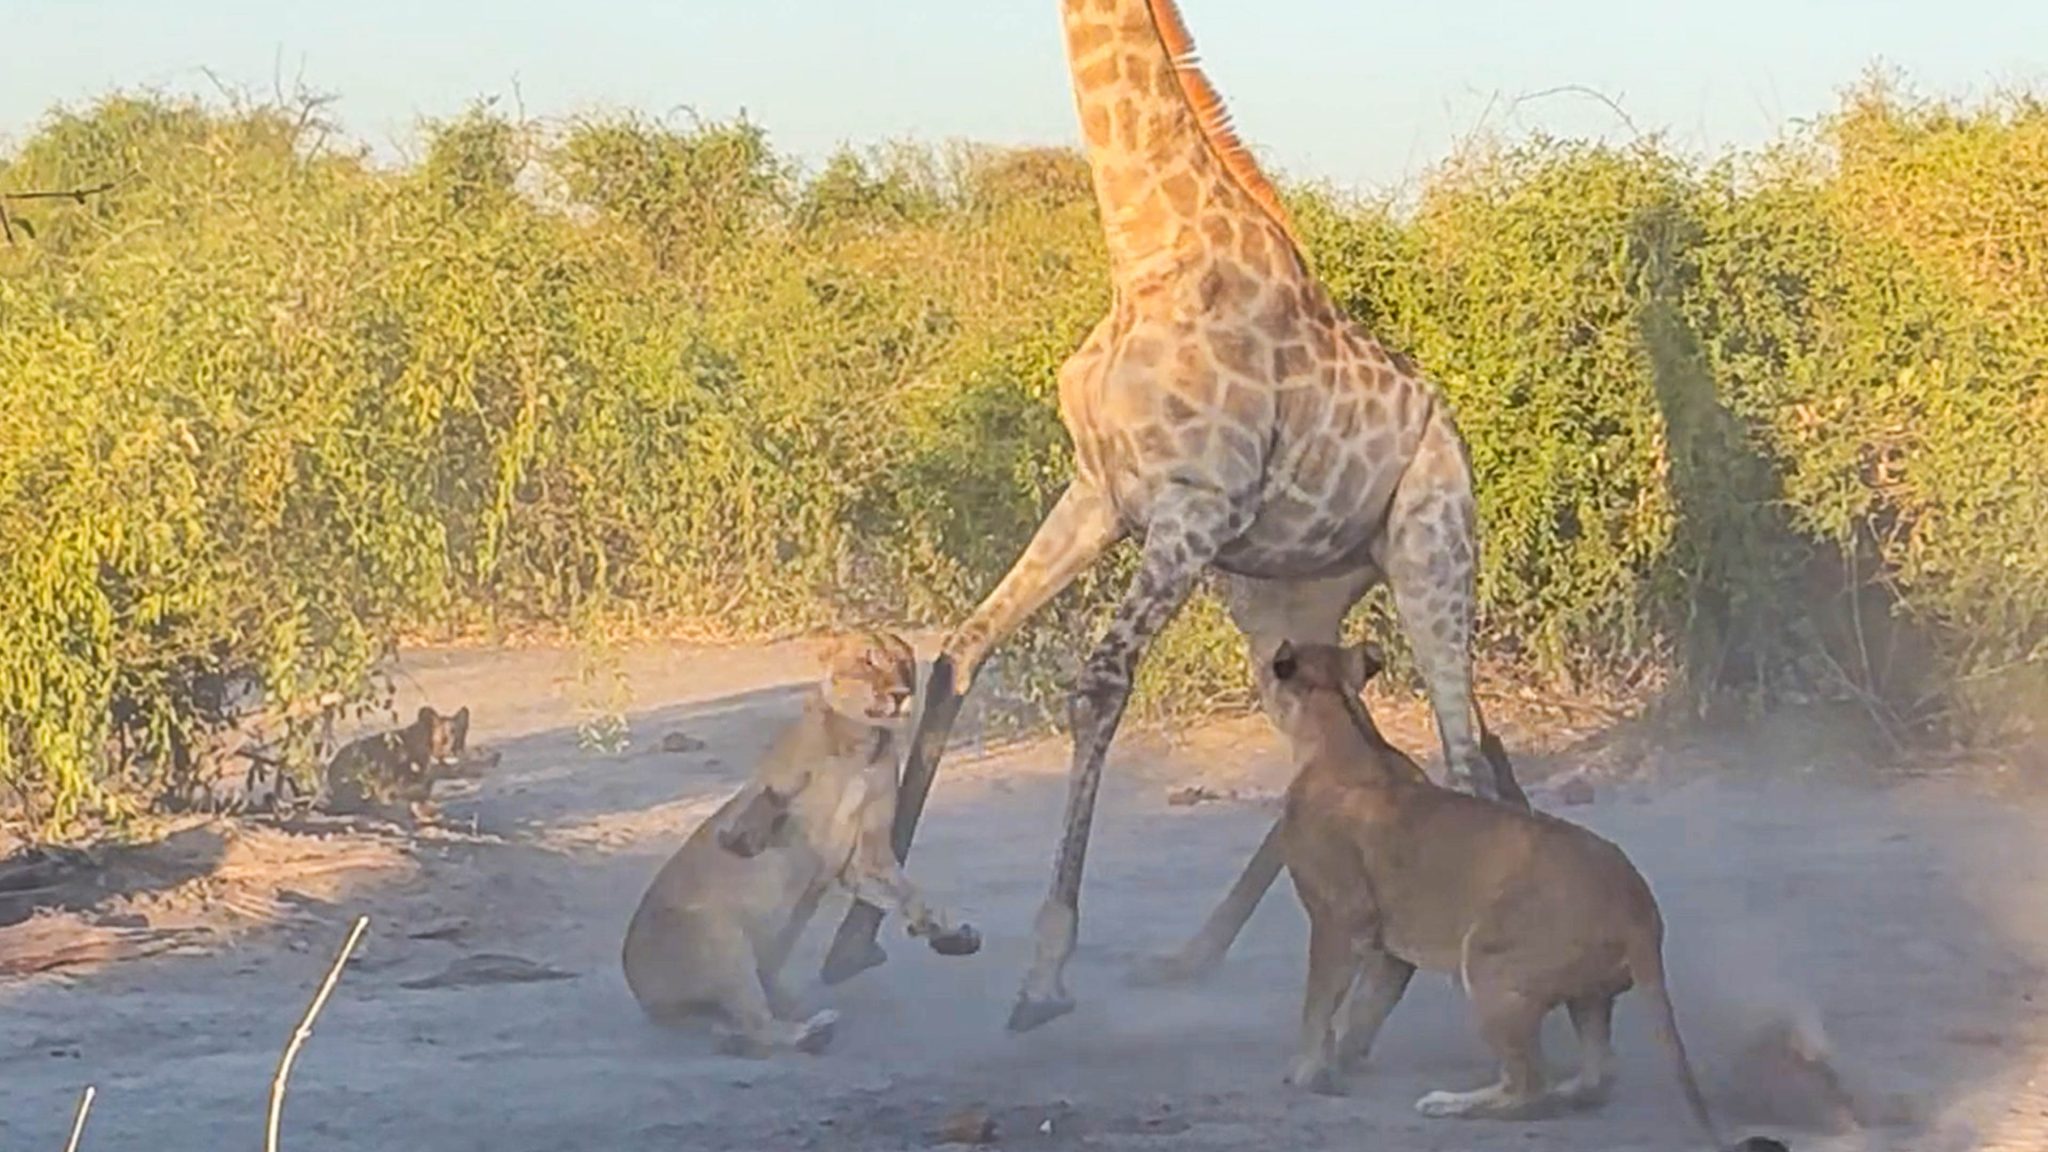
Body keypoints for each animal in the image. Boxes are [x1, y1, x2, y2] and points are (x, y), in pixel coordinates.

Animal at [620, 630, 982, 1058]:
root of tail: (637, 988)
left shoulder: (863, 859)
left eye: (903, 662)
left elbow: (908, 892)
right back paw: (810, 1032)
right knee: (756, 1024)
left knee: (740, 1024)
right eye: (868, 661)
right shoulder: (771, 793)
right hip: (719, 937)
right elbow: (759, 808)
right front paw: (743, 836)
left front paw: (944, 930)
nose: (900, 694)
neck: (862, 745)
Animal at [819, 0, 1528, 1032]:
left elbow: (1098, 689)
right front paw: (857, 939)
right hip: (1284, 605)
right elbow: (959, 653)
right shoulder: (1101, 492)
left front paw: (1045, 973)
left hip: (1433, 554)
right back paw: (1192, 957)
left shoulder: (1191, 510)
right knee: (1382, 743)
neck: (1150, 253)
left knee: (1461, 751)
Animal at [1261, 641, 1784, 1152]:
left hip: (1489, 966)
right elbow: (1366, 1006)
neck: (1343, 725)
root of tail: (1639, 908)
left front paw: (1307, 1072)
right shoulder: (1391, 947)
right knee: (1597, 1075)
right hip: (1588, 994)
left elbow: (1318, 1002)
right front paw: (1340, 1063)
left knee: (1529, 1087)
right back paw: (1566, 1092)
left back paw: (1448, 1103)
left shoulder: (1339, 918)